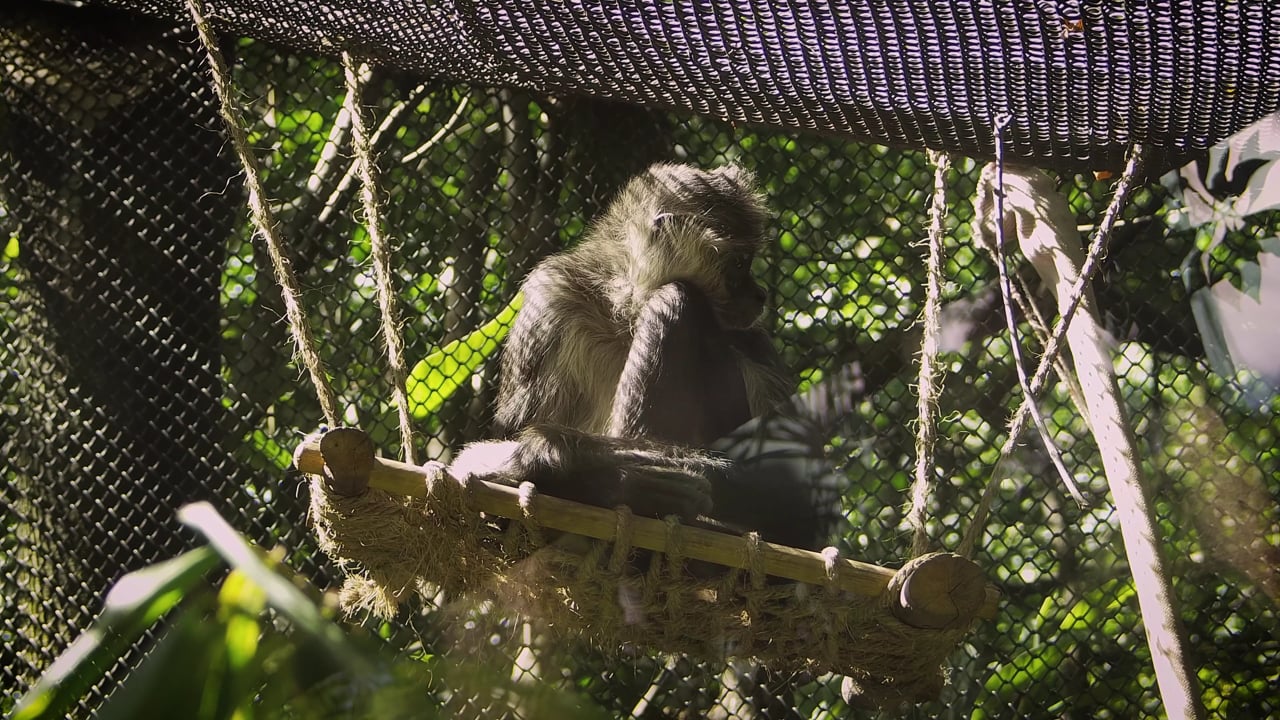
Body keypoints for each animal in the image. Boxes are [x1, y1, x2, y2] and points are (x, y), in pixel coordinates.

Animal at [450, 163, 818, 547]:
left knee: (675, 296)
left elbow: (798, 507)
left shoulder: (752, 338)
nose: (760, 295)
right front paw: (575, 467)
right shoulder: (552, 291)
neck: (626, 309)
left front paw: (553, 459)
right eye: (739, 264)